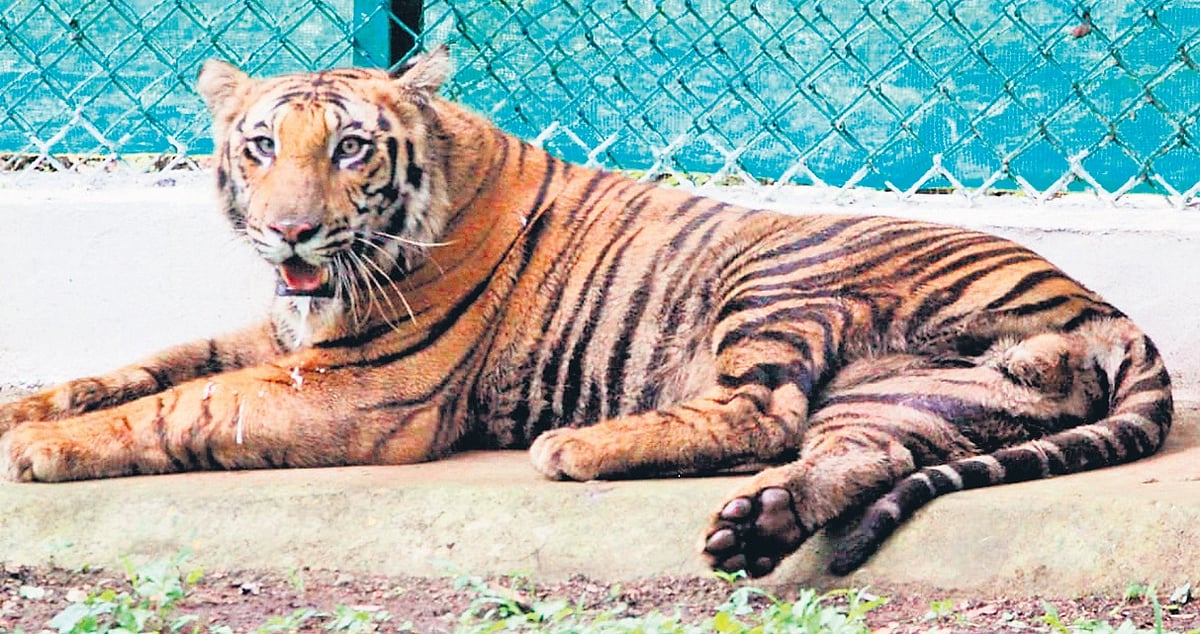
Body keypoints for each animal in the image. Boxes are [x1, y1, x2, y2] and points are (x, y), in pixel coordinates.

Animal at [0, 46, 1172, 578]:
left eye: (350, 148)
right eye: (258, 147)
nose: (289, 233)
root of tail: (1110, 310)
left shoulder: (366, 393)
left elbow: (188, 404)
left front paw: (40, 450)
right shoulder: (287, 333)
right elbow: (159, 360)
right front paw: (33, 409)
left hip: (776, 276)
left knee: (762, 412)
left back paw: (577, 446)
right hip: (918, 398)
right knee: (847, 451)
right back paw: (760, 524)